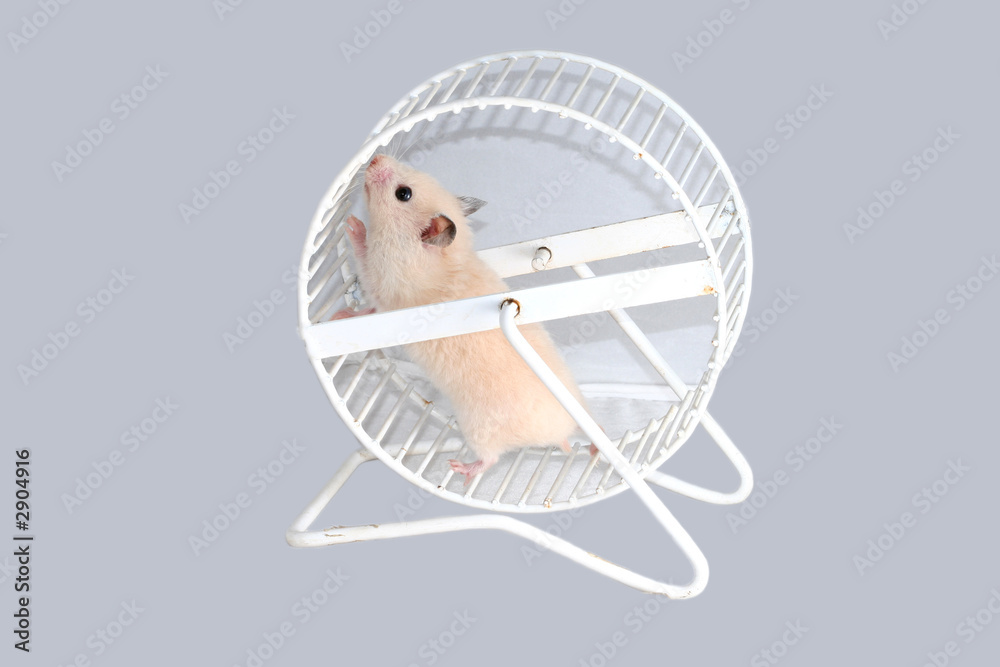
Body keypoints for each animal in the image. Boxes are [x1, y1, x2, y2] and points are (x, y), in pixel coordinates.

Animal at [332, 154, 590, 483]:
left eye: (403, 193)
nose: (376, 157)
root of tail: (561, 437)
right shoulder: (381, 299)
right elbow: (367, 310)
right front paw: (340, 314)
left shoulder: (382, 283)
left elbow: (364, 262)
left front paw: (352, 223)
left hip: (479, 431)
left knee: (490, 459)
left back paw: (459, 468)